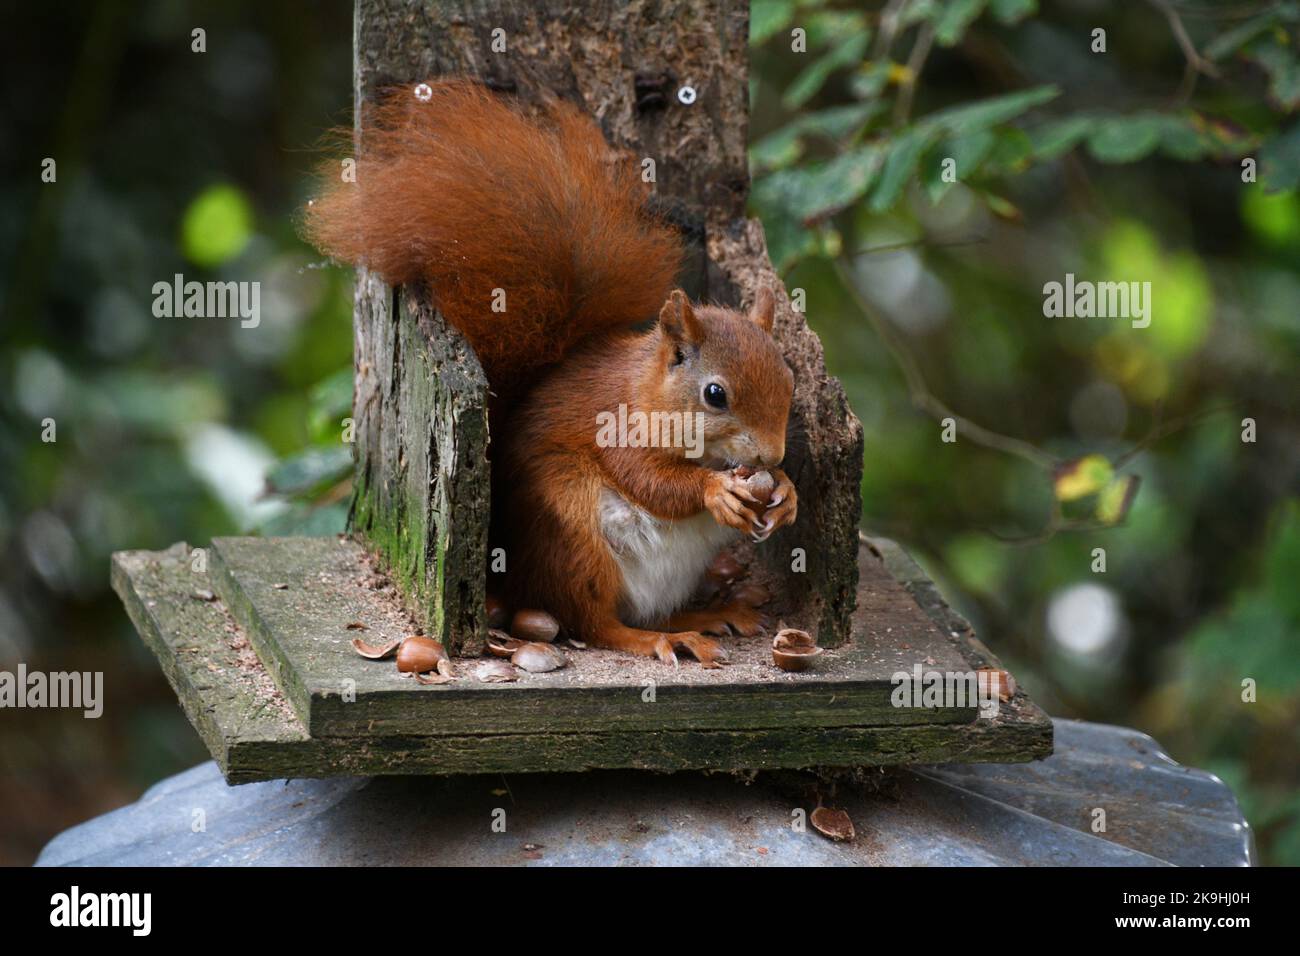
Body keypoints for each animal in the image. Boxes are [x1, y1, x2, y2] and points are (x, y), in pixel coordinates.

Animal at [305, 80, 797, 666]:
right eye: (715, 394)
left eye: (791, 381)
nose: (772, 455)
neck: (649, 391)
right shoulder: (617, 425)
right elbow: (650, 481)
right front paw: (714, 491)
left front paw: (787, 493)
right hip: (574, 529)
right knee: (597, 621)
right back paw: (658, 637)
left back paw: (705, 615)